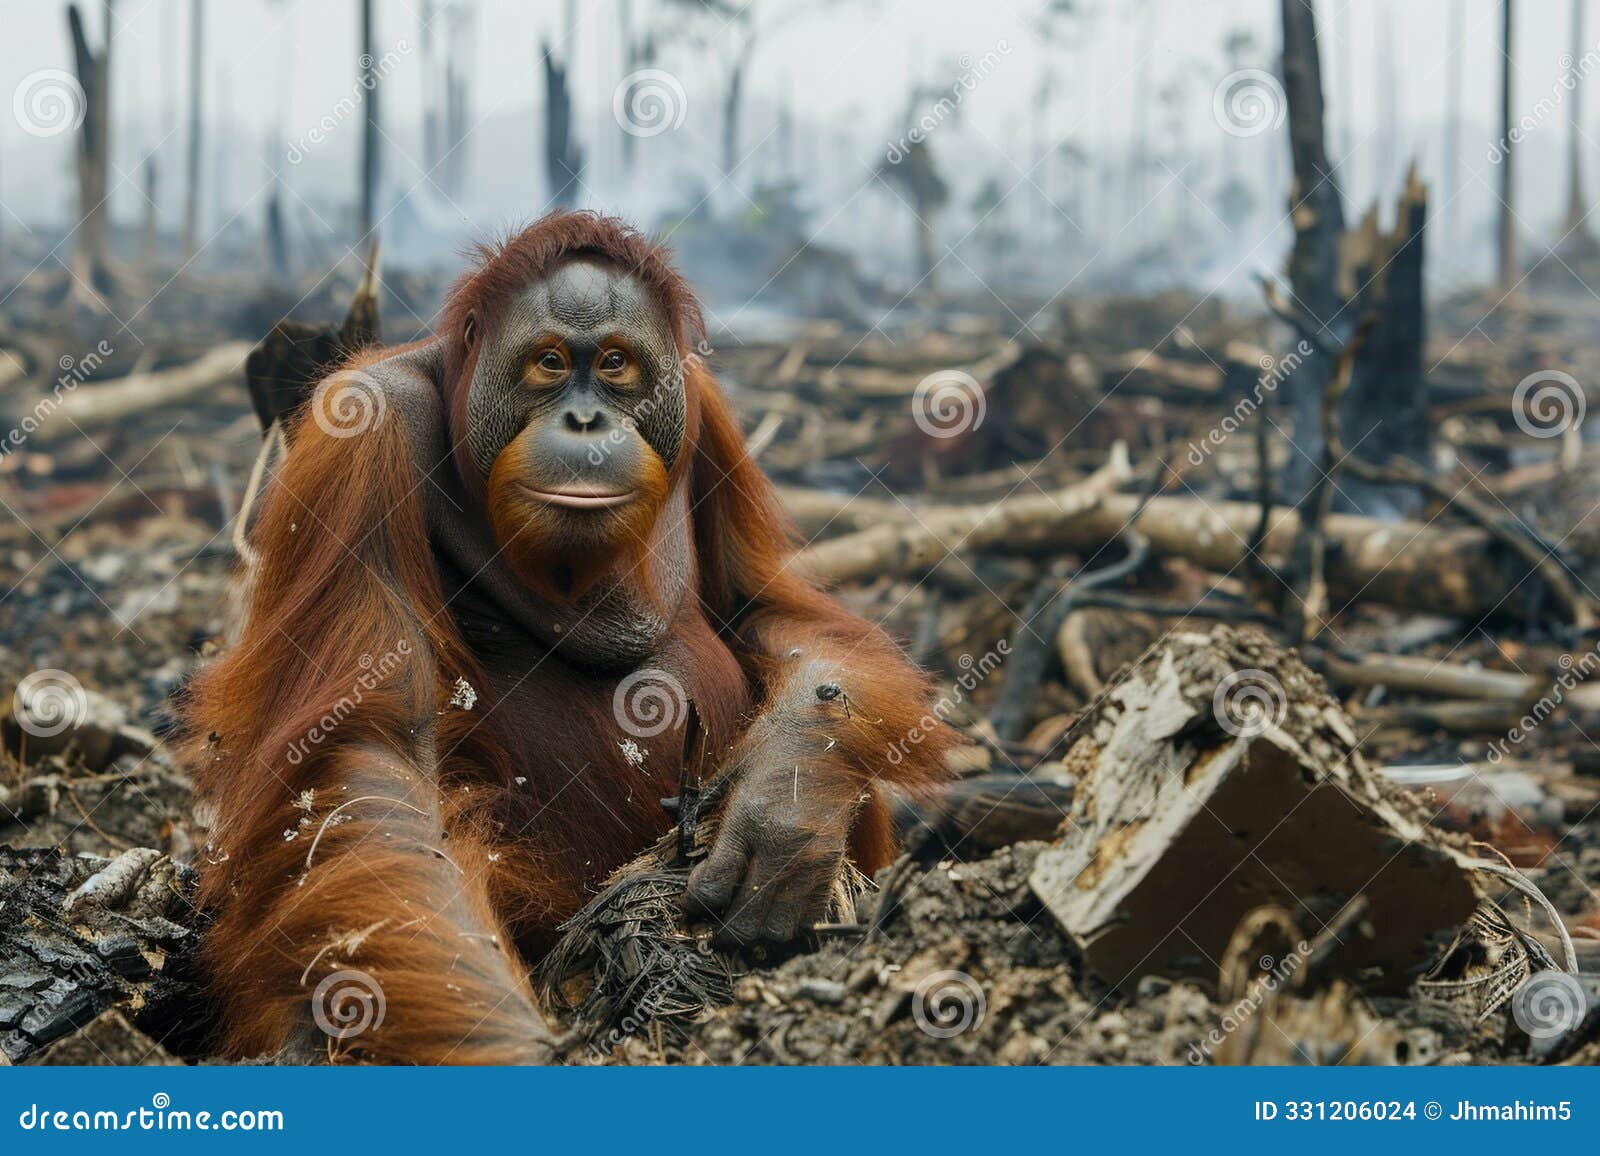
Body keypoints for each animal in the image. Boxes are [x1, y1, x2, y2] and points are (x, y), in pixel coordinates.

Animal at [182, 211, 956, 1064]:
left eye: (615, 365)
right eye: (550, 363)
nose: (585, 418)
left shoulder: (705, 410)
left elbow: (767, 610)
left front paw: (785, 800)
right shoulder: (366, 426)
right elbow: (375, 748)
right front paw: (512, 1044)